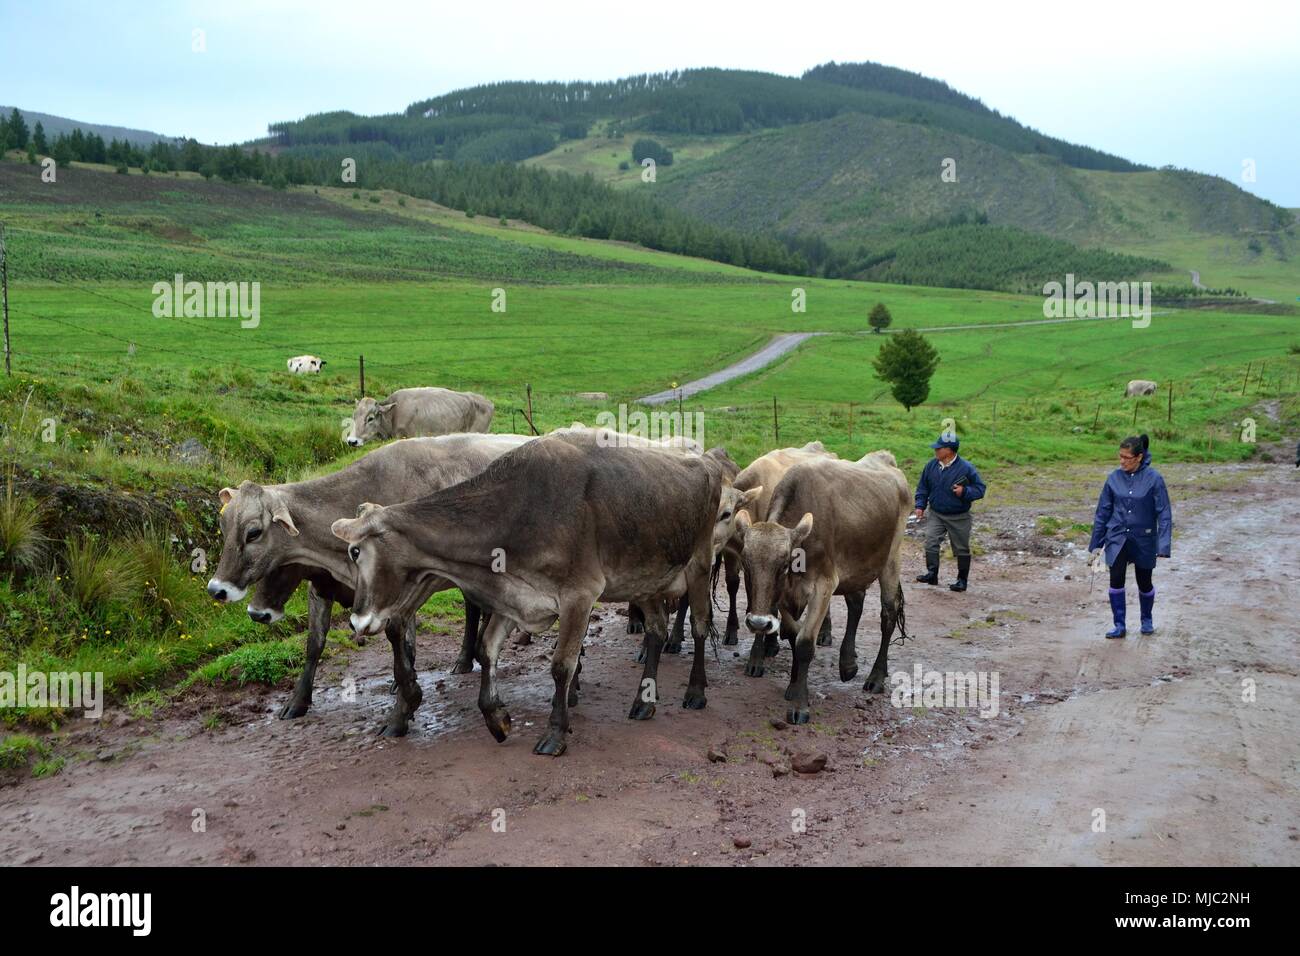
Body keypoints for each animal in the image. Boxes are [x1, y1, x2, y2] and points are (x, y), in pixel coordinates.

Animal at [206, 433, 533, 735]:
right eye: (222, 528)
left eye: (253, 533)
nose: (216, 589)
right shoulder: (323, 588)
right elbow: (314, 643)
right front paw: (297, 701)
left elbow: (398, 637)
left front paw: (404, 704)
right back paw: (467, 658)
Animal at [331, 430, 726, 756]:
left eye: (355, 552)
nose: (356, 621)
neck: (516, 511)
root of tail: (706, 462)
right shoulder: (515, 596)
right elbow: (486, 650)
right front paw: (497, 718)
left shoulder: (579, 595)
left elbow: (562, 666)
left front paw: (555, 732)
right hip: (643, 580)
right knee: (656, 630)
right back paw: (644, 700)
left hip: (699, 564)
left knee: (700, 626)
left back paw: (696, 692)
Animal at [733, 449, 912, 724]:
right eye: (746, 563)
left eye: (784, 564)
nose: (758, 624)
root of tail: (886, 460)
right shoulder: (783, 596)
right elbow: (792, 634)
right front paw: (793, 686)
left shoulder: (823, 585)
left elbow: (805, 642)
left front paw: (800, 706)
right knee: (856, 605)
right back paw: (847, 664)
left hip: (891, 561)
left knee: (888, 616)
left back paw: (876, 677)